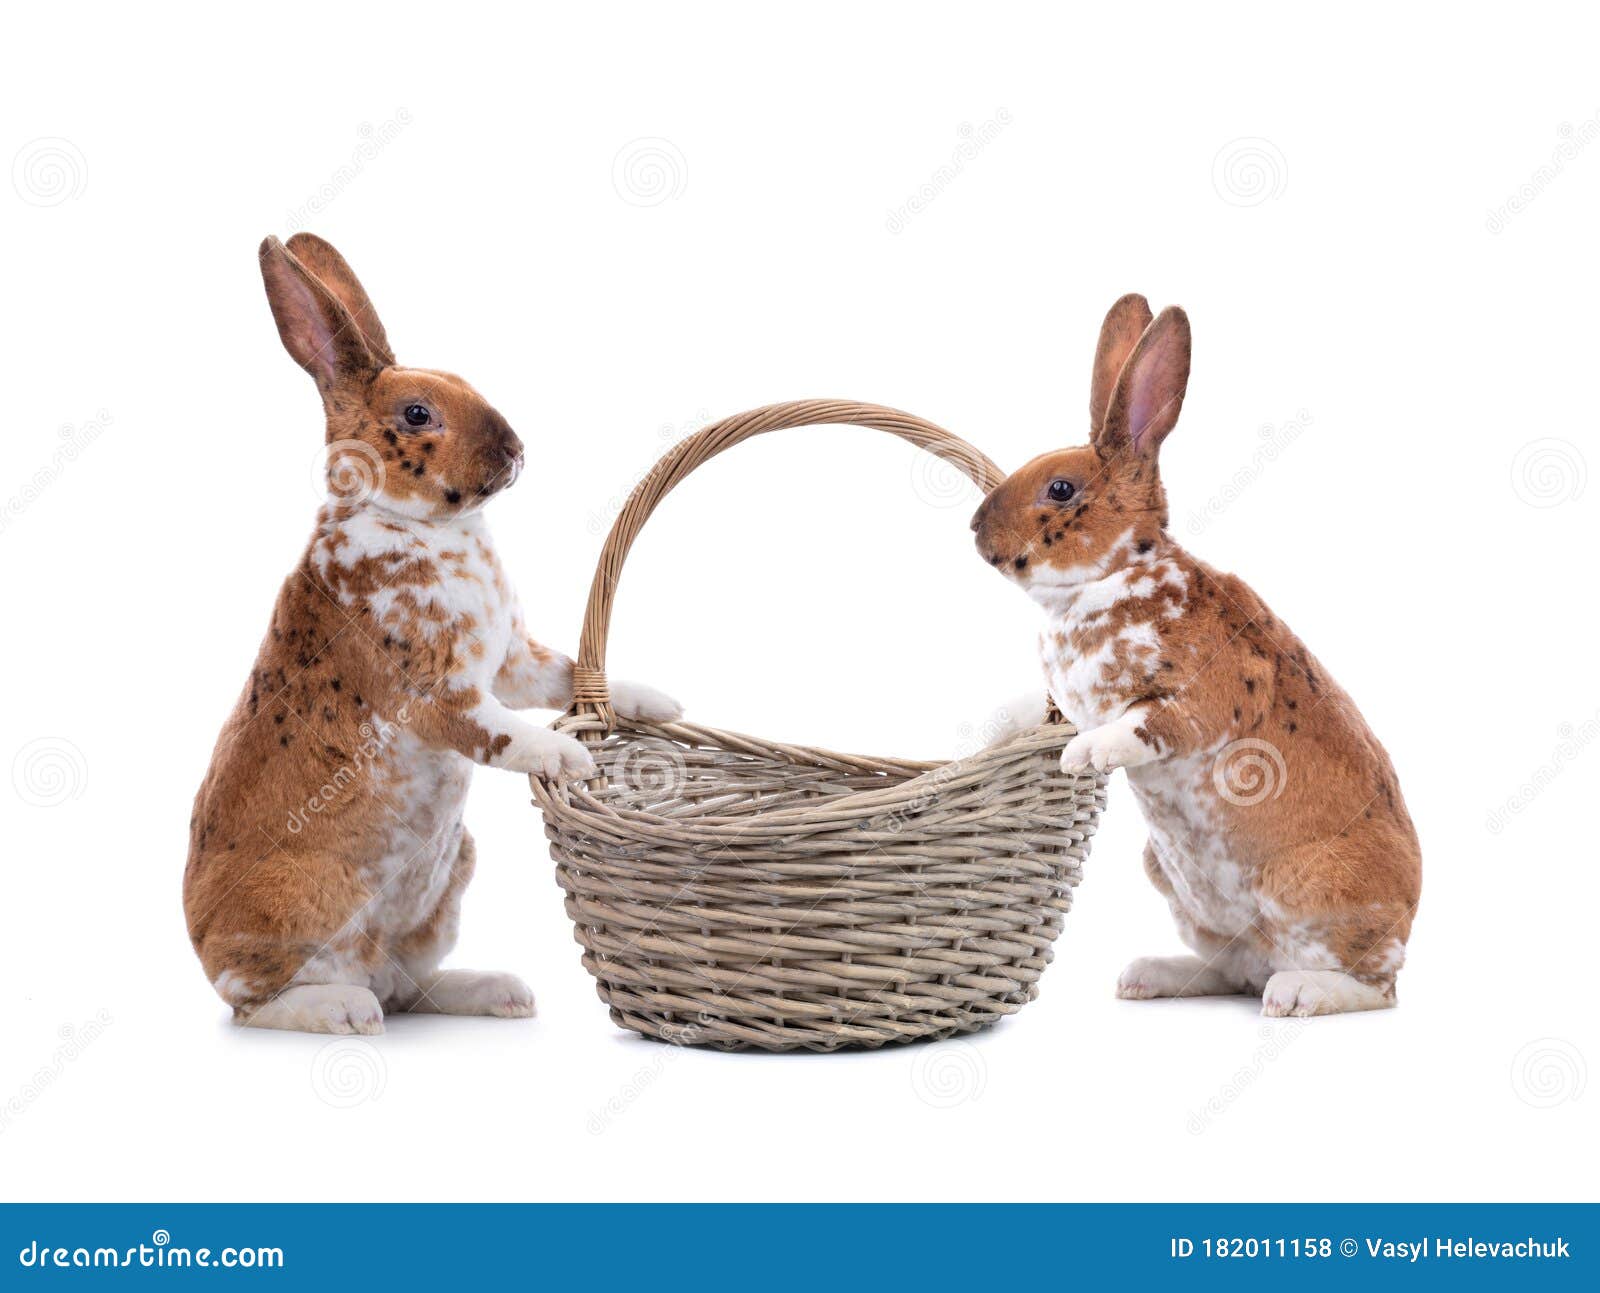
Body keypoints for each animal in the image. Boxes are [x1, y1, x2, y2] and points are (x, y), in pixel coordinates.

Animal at [183, 233, 681, 1035]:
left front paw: (656, 701)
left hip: (447, 886)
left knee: (411, 985)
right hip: (293, 912)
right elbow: (504, 734)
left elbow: (568, 675)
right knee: (256, 1003)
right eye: (418, 413)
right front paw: (570, 757)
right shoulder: (441, 694)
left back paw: (501, 992)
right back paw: (346, 1011)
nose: (515, 448)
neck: (418, 524)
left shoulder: (512, 663)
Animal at [971, 295, 1421, 1017]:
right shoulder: (1069, 700)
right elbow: (1038, 709)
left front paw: (1083, 757)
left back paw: (1295, 993)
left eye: (1061, 489)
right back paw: (1144, 974)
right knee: (1230, 969)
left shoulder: (1205, 694)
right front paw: (994, 727)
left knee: (1372, 987)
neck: (1108, 579)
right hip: (1178, 888)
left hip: (1308, 890)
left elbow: (1145, 725)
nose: (977, 529)